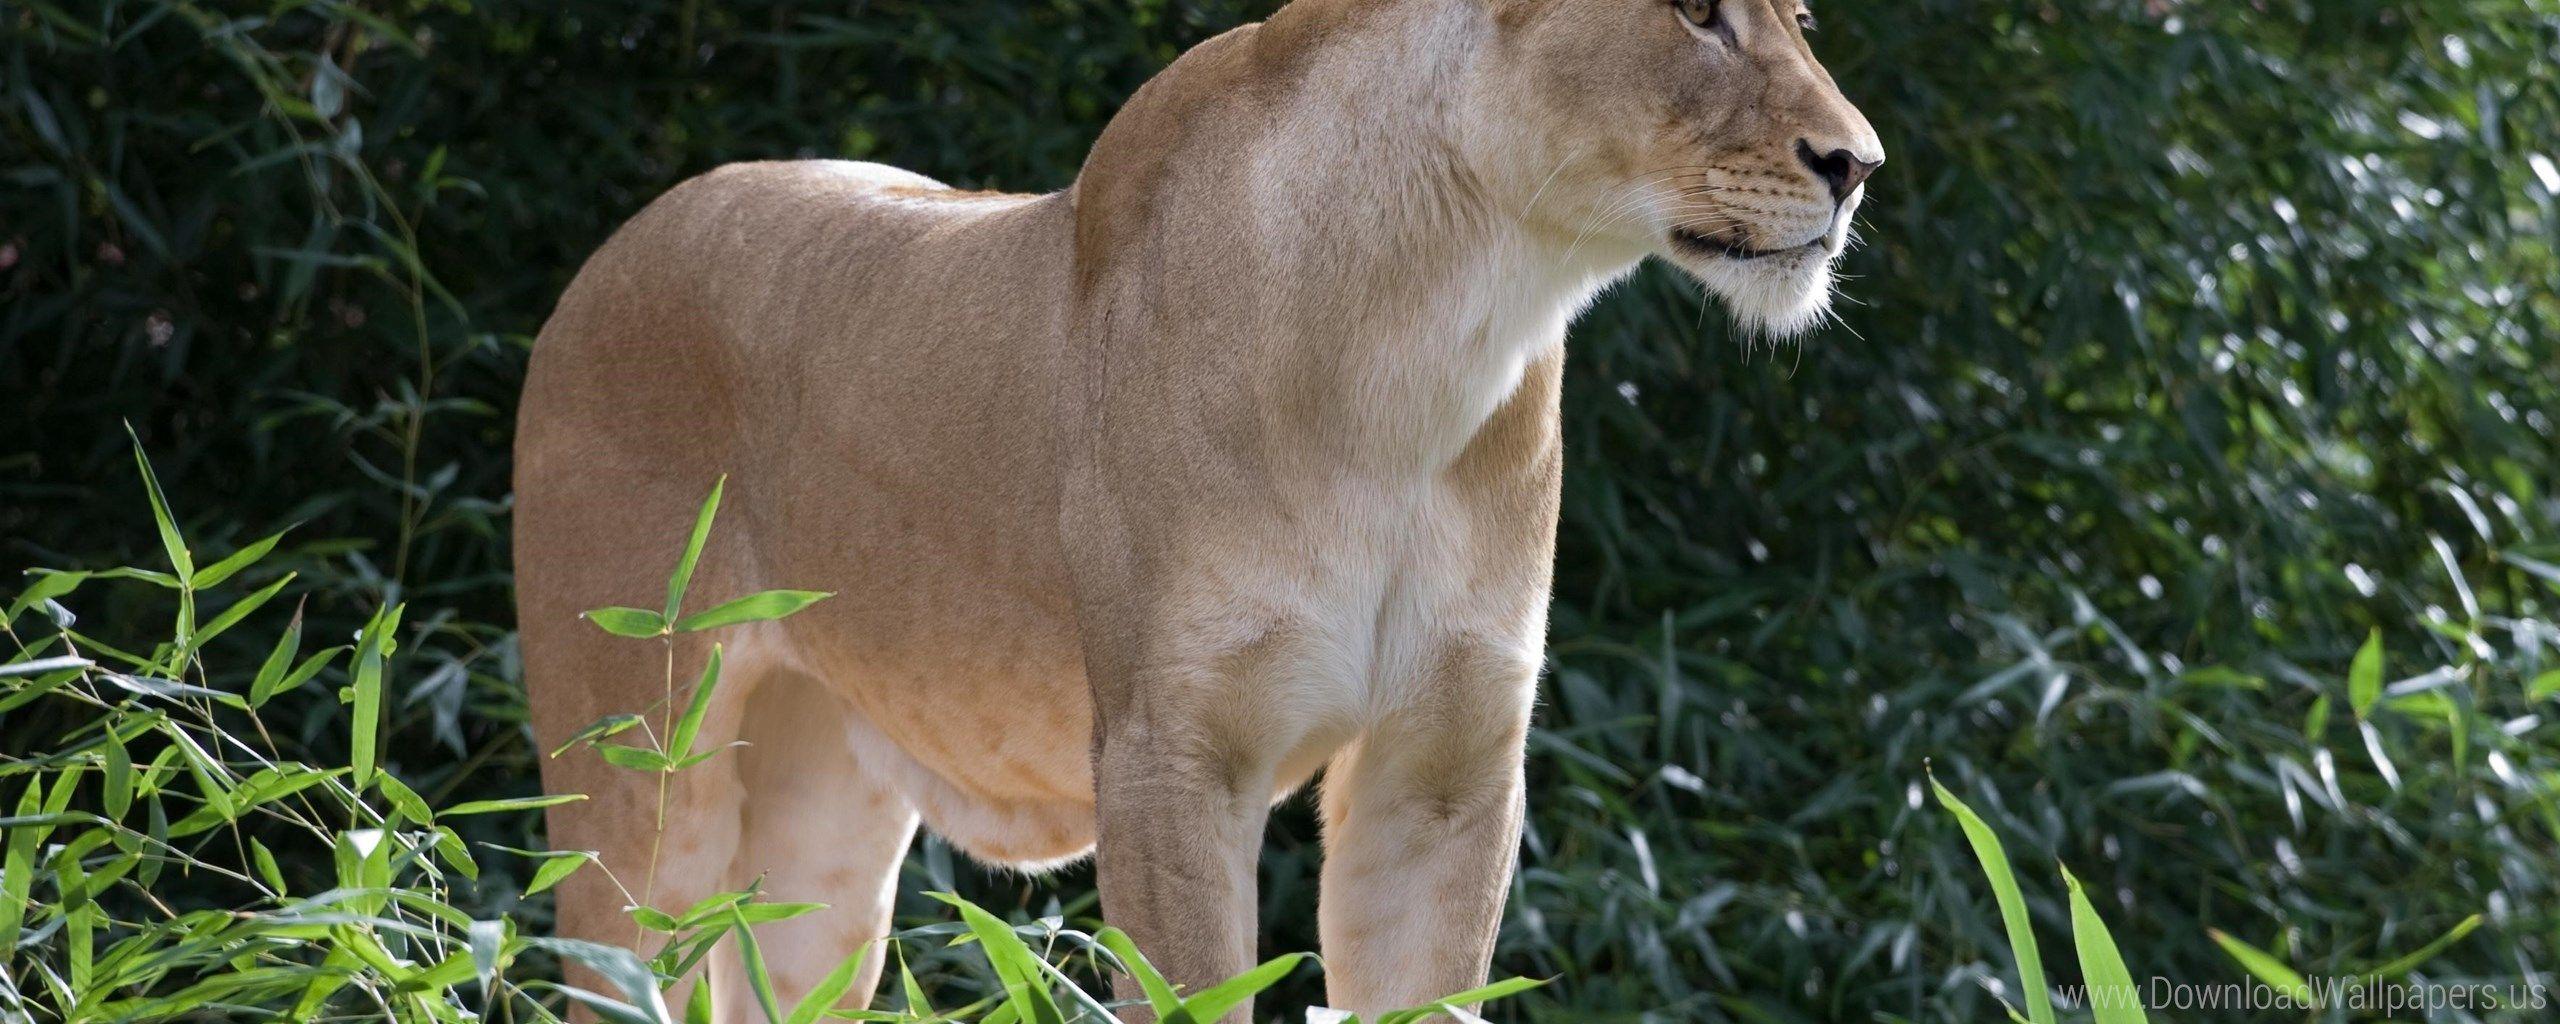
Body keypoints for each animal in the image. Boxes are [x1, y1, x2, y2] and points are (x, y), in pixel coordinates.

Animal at [514, 0, 1880, 1018]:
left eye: (1801, 20)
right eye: (1693, 11)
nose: (1857, 166)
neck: (1439, 334)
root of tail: (614, 246)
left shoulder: (1446, 771)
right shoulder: (1171, 752)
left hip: (819, 829)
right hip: (639, 778)